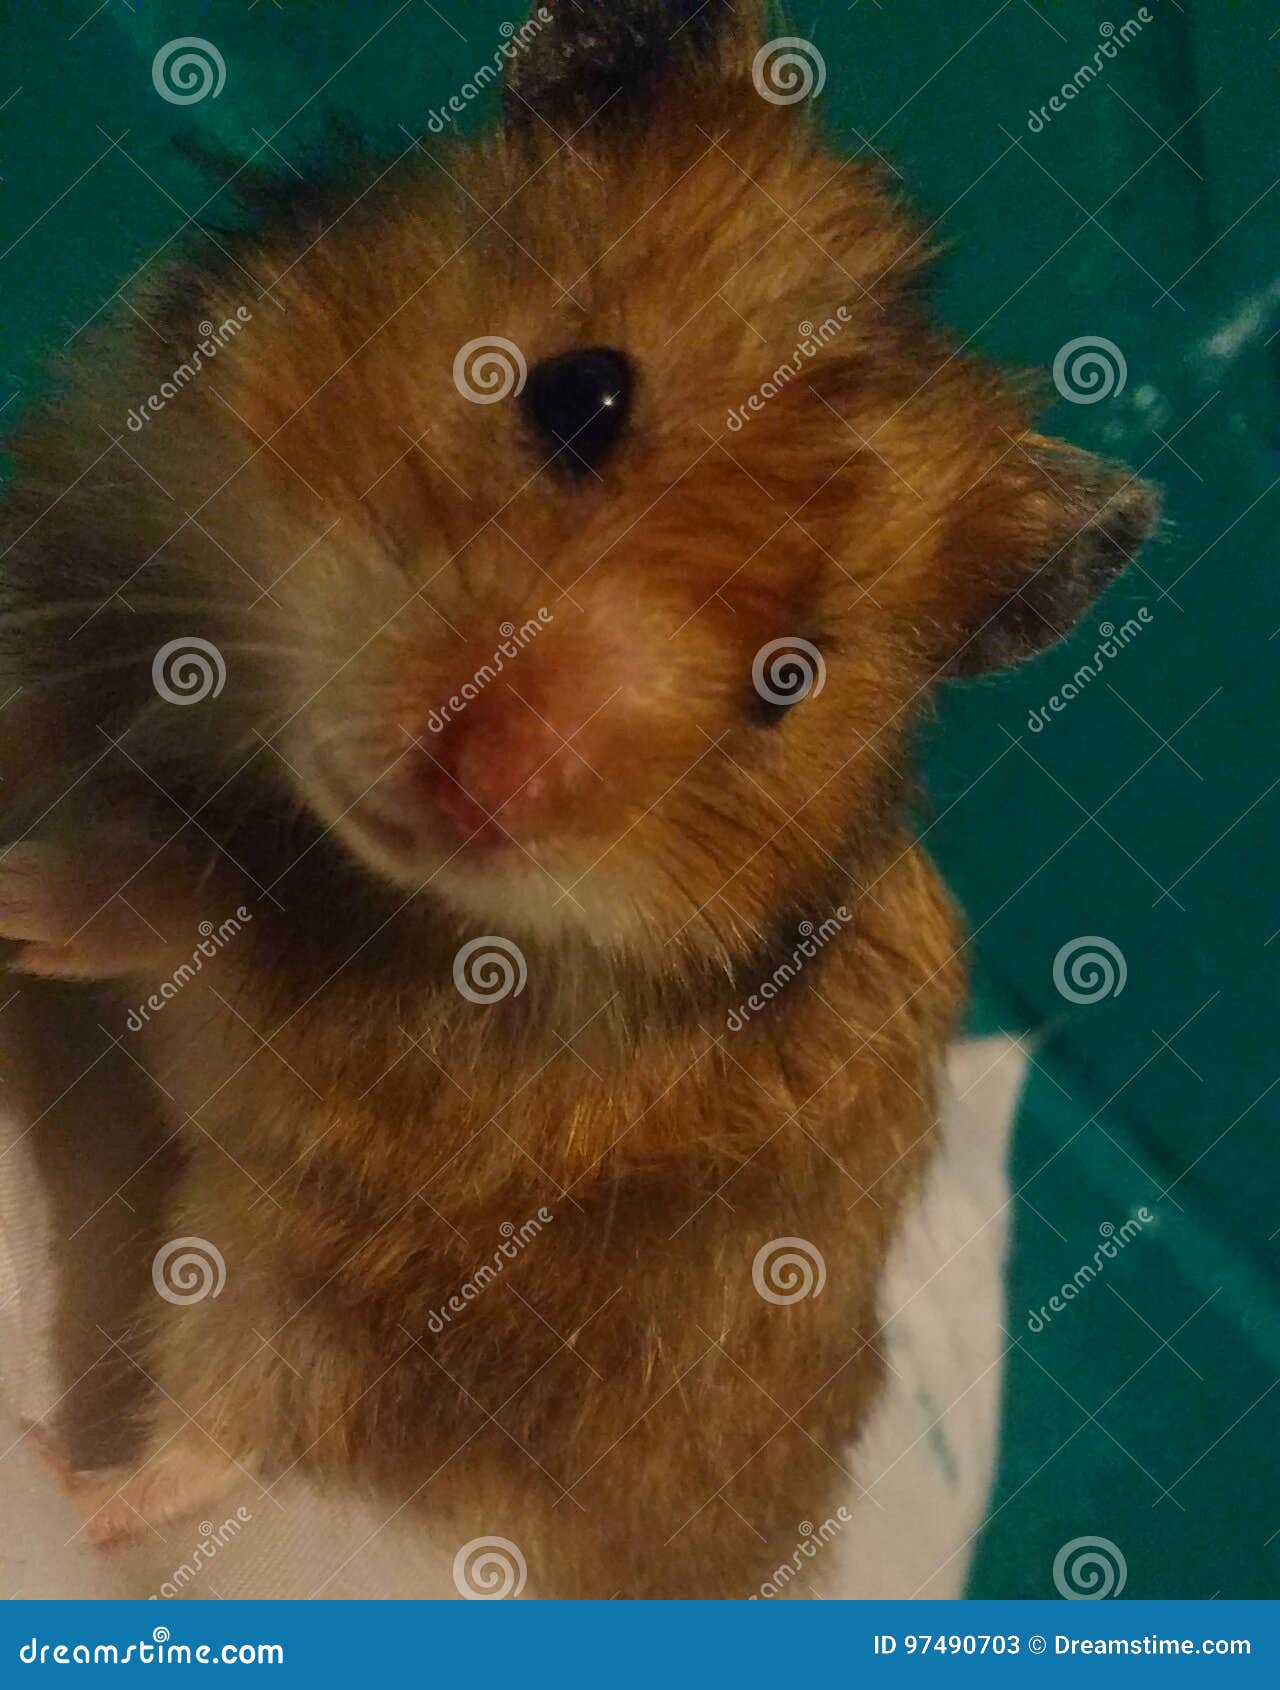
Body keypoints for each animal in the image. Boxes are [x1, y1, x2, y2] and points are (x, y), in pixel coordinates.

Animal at [0, 0, 1155, 1598]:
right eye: (576, 393)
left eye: (788, 678)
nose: (484, 785)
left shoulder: (414, 1081)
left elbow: (209, 895)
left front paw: (21, 898)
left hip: (330, 1309)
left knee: (208, 1447)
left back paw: (46, 1461)